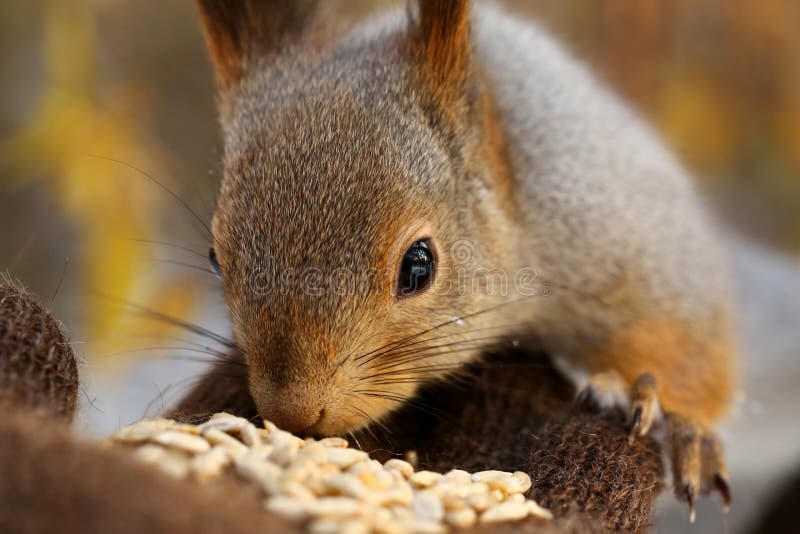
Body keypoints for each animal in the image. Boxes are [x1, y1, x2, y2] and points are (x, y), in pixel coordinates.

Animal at [194, 0, 737, 517]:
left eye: (419, 266)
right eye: (215, 256)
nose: (293, 413)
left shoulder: (618, 239)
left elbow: (689, 348)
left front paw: (682, 423)